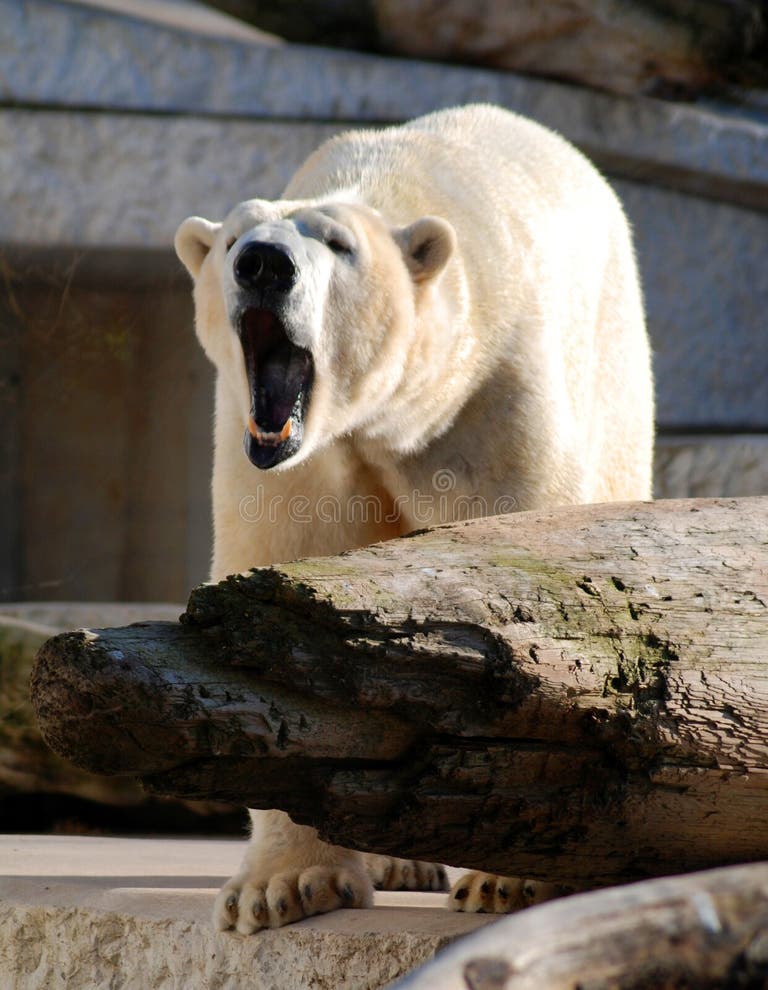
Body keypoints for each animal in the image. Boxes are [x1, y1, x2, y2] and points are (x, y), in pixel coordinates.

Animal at [174, 103, 654, 933]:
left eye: (338, 246)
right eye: (235, 238)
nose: (264, 264)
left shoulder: (490, 404)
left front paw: (508, 881)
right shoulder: (280, 452)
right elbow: (277, 591)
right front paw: (282, 888)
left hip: (615, 361)